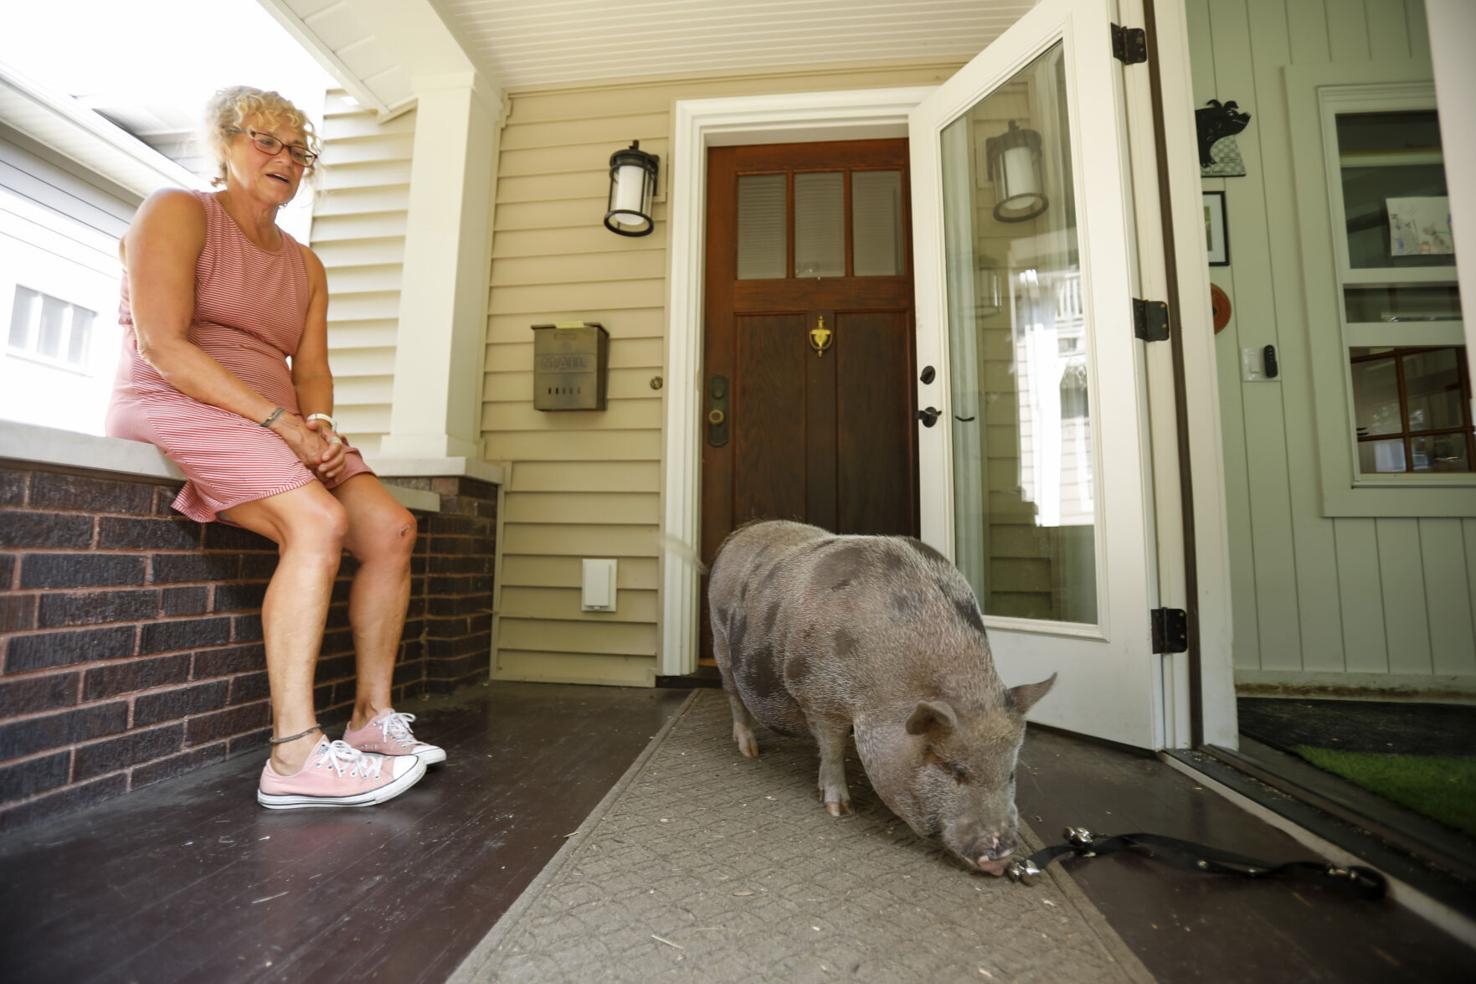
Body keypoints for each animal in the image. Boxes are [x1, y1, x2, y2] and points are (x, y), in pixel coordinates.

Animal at [707, 519, 1055, 876]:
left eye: (1010, 773)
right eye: (952, 768)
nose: (1002, 856)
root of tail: (739, 533)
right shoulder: (817, 696)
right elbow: (832, 750)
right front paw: (839, 810)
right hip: (720, 640)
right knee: (733, 696)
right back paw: (749, 751)